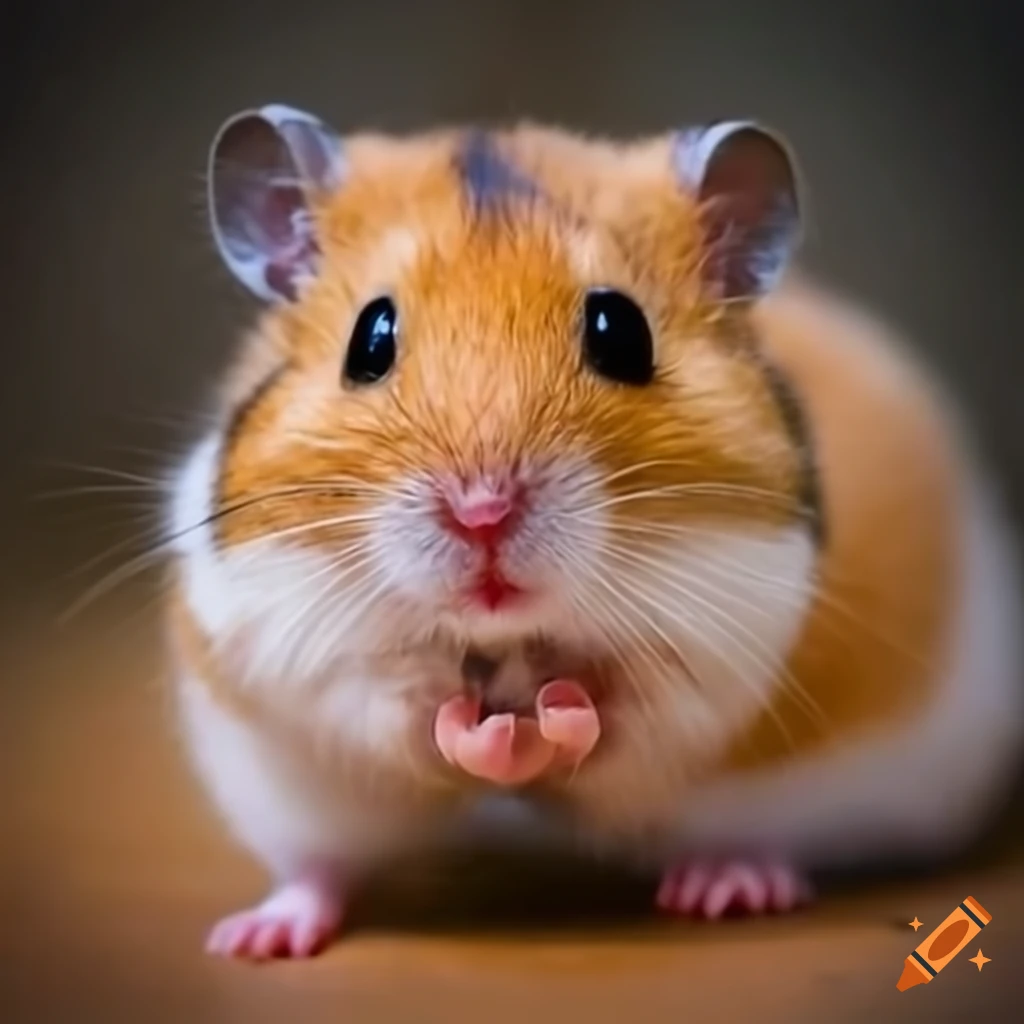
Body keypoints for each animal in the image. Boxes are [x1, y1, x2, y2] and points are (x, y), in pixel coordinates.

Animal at [166, 105, 1024, 959]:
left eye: (622, 332)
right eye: (369, 339)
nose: (482, 512)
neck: (509, 639)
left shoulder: (734, 619)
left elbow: (624, 712)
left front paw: (546, 721)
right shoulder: (285, 633)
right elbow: (398, 706)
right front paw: (488, 734)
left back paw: (726, 890)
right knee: (319, 867)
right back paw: (258, 938)